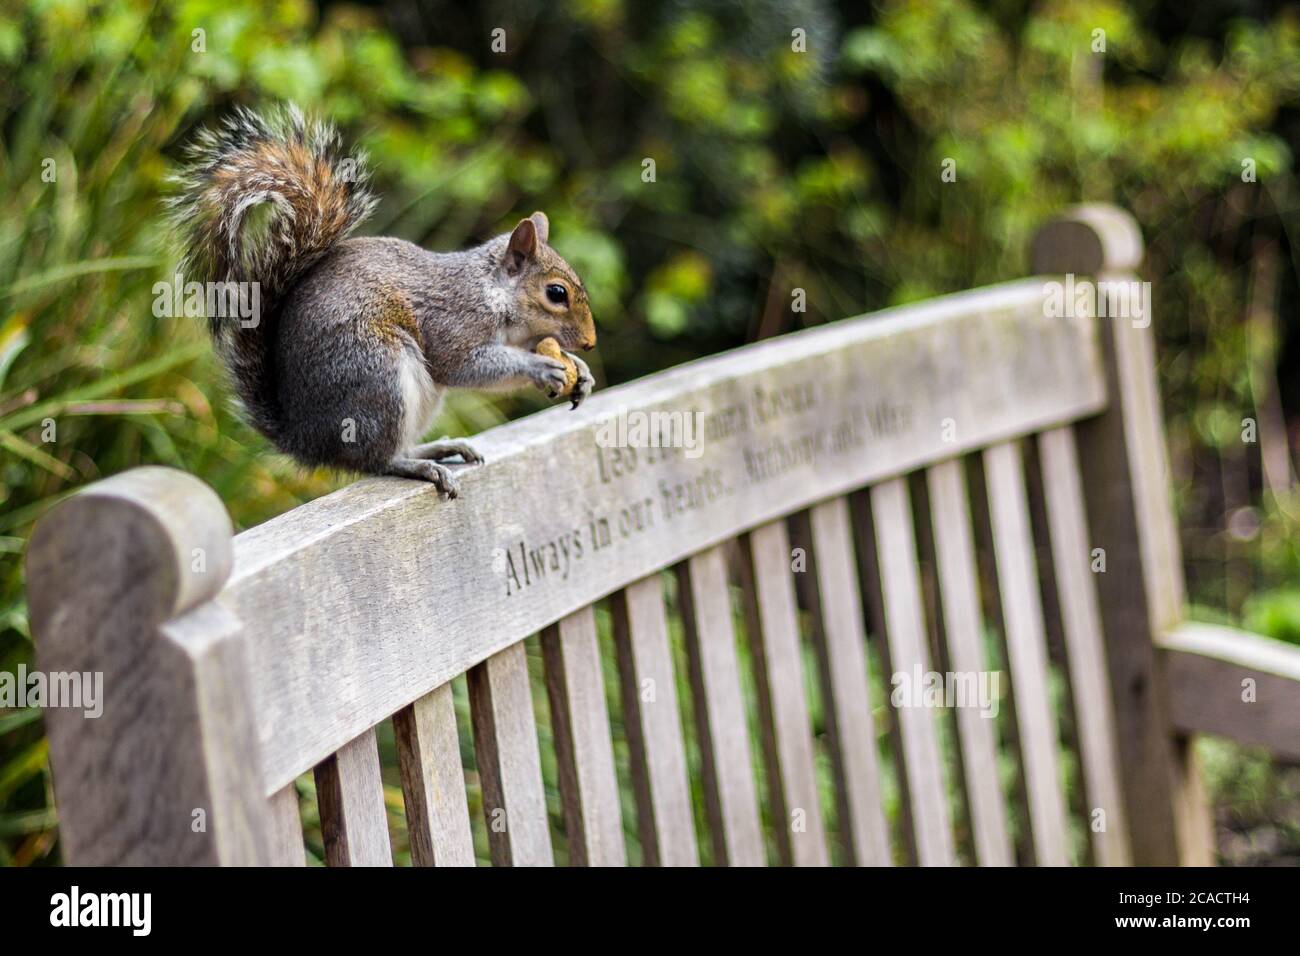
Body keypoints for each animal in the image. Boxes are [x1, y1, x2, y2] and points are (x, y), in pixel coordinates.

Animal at [168, 105, 596, 499]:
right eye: (556, 293)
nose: (590, 342)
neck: (491, 292)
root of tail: (306, 439)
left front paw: (580, 370)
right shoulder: (454, 320)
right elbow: (465, 366)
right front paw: (540, 366)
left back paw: (435, 449)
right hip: (378, 373)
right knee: (374, 460)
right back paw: (417, 466)